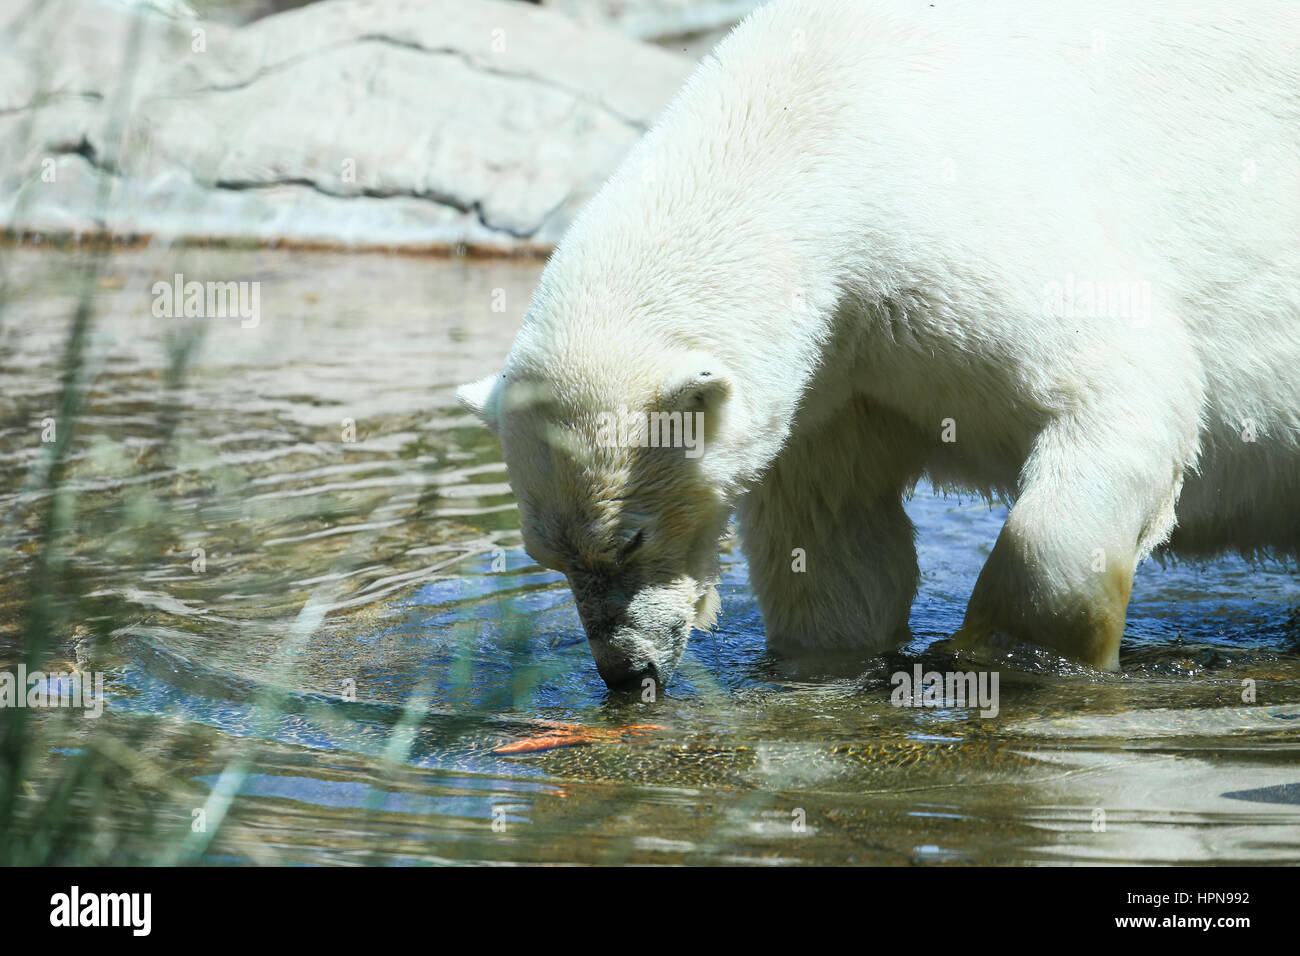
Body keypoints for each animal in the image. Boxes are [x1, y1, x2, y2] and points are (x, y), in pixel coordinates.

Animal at [458, 0, 1300, 689]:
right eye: (545, 556)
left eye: (631, 540)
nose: (626, 671)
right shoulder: (836, 375)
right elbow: (837, 537)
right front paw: (831, 655)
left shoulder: (951, 214)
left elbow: (1124, 381)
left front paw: (1004, 654)